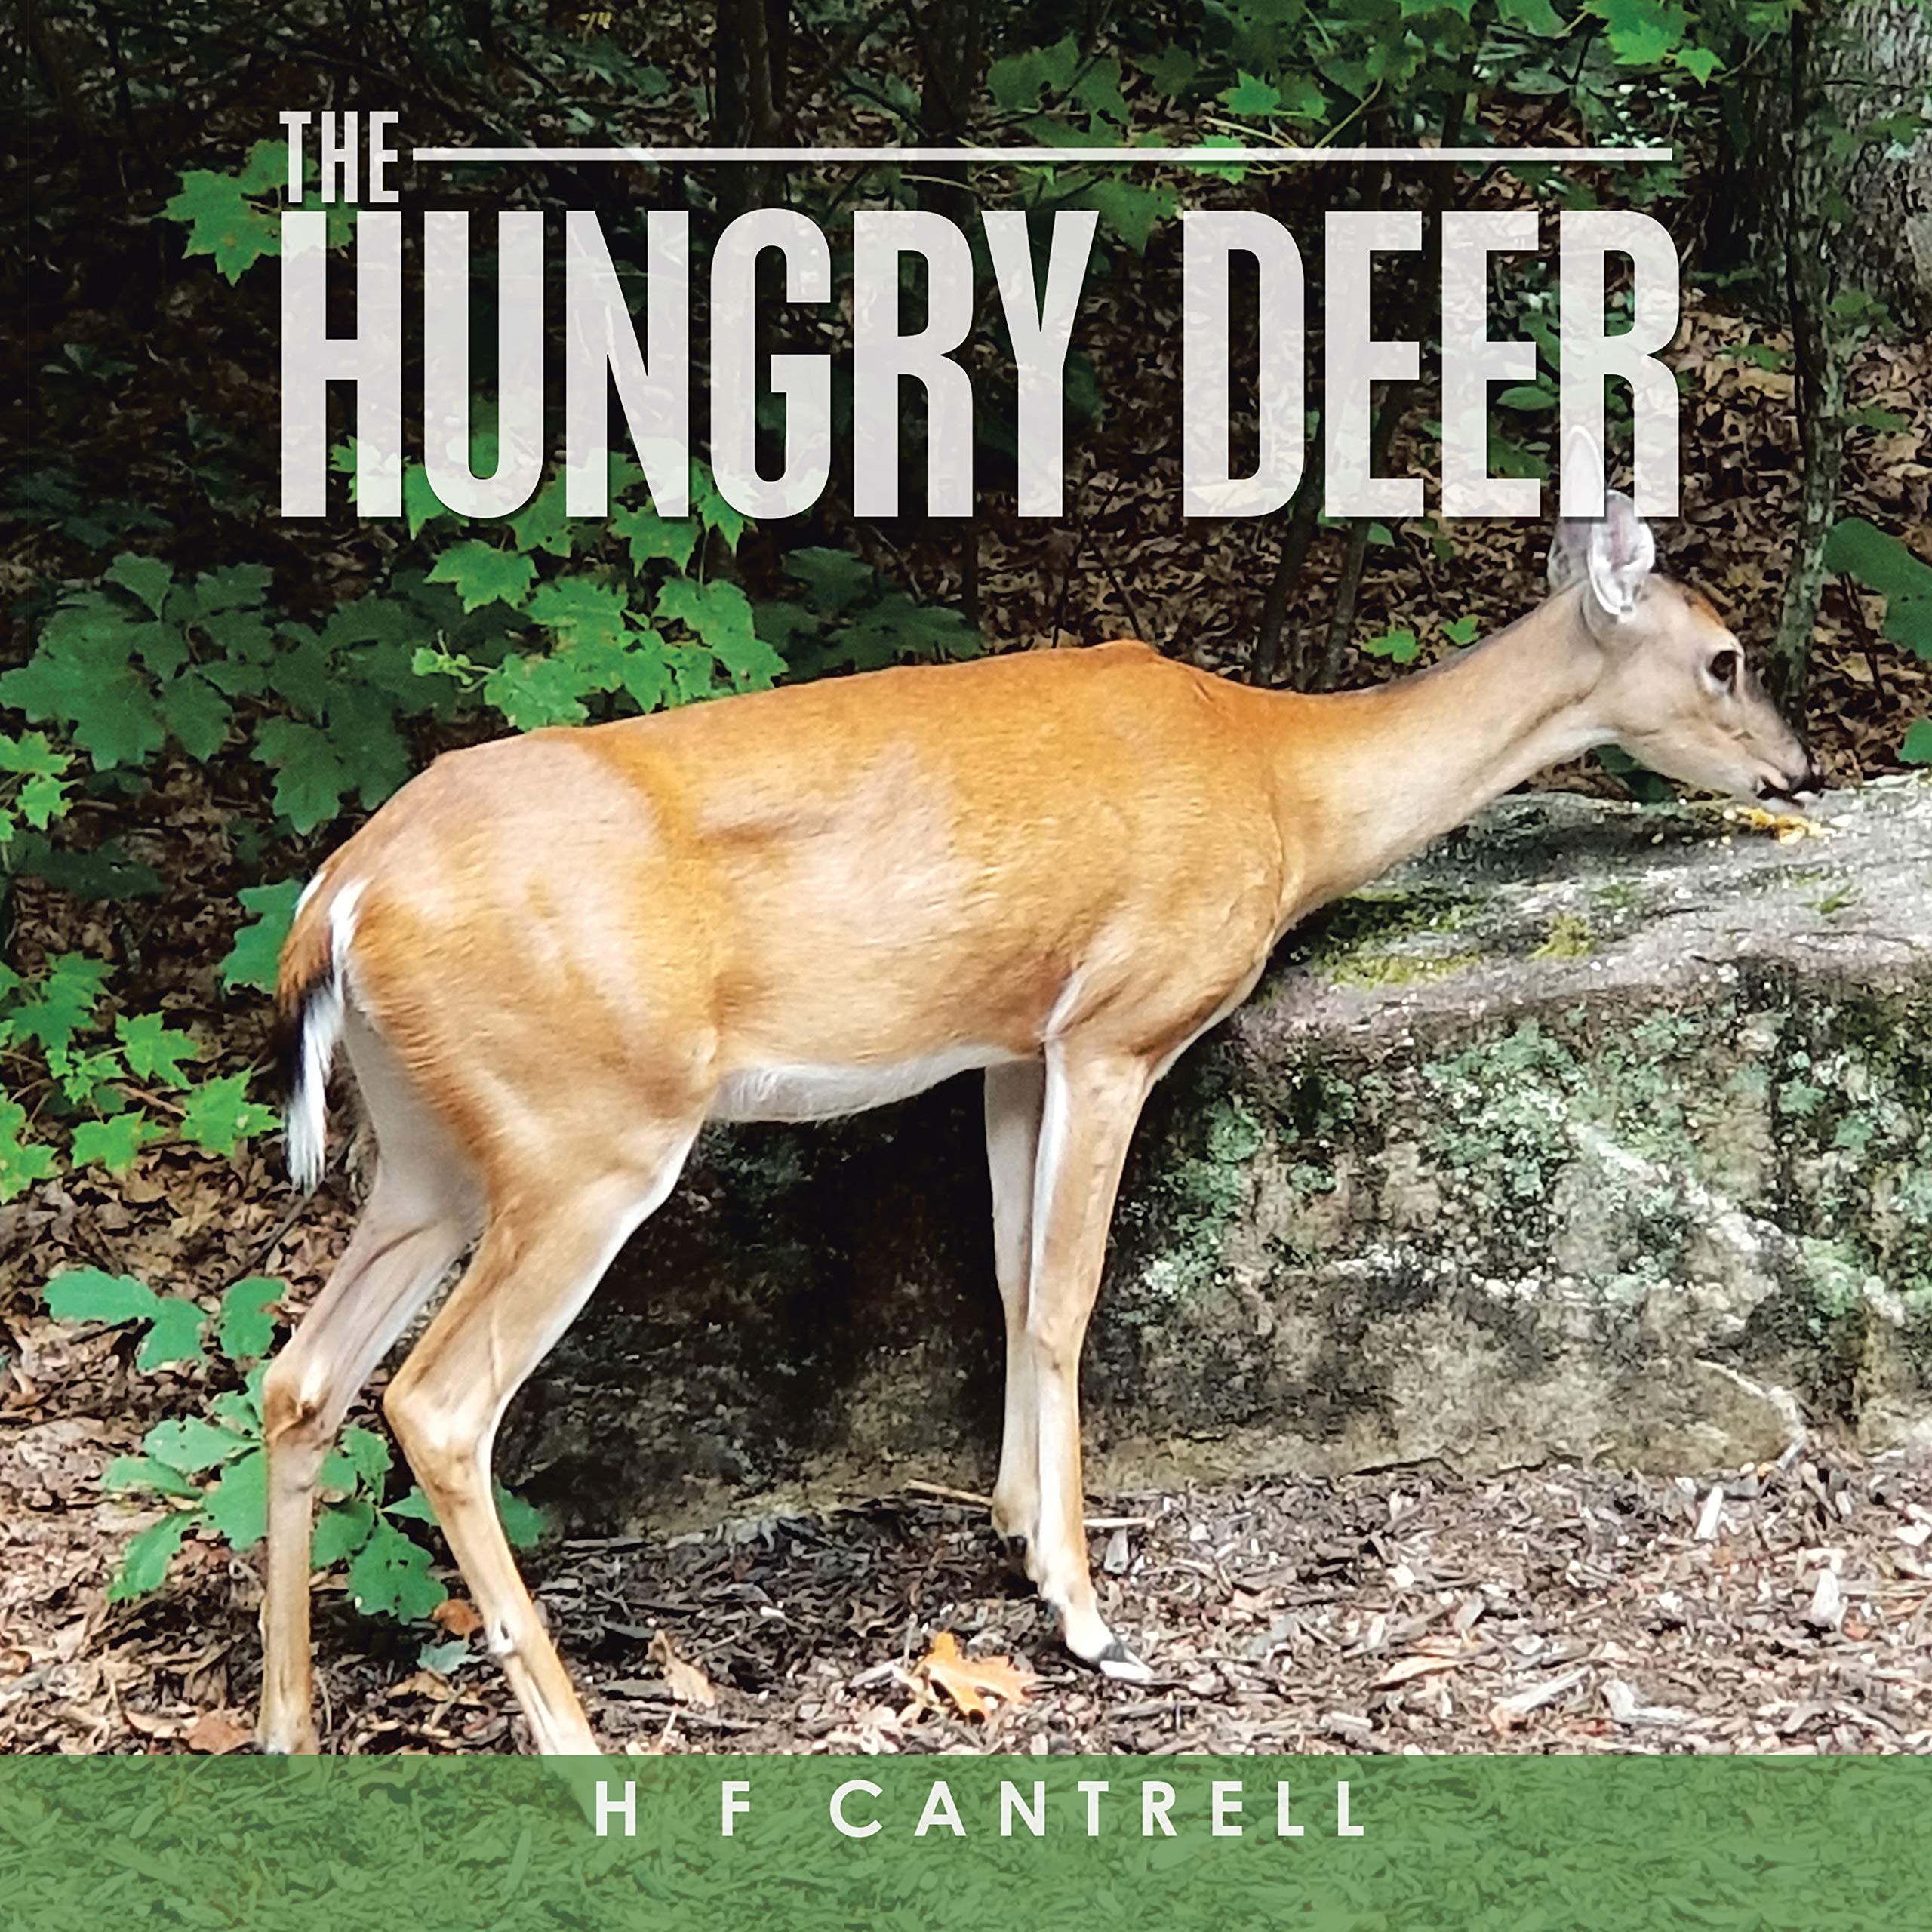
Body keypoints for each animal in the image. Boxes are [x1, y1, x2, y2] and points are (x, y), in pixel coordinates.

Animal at [260, 486, 1819, 1753]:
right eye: (1726, 656)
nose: (1797, 773)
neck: (1284, 788)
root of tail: (341, 897)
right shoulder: (1119, 1020)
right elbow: (1071, 1297)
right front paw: (1084, 1613)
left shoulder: (1011, 1049)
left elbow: (1012, 1284)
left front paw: (1015, 1531)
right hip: (586, 1133)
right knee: (437, 1402)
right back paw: (574, 1737)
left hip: (432, 1150)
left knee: (301, 1378)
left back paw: (288, 1728)